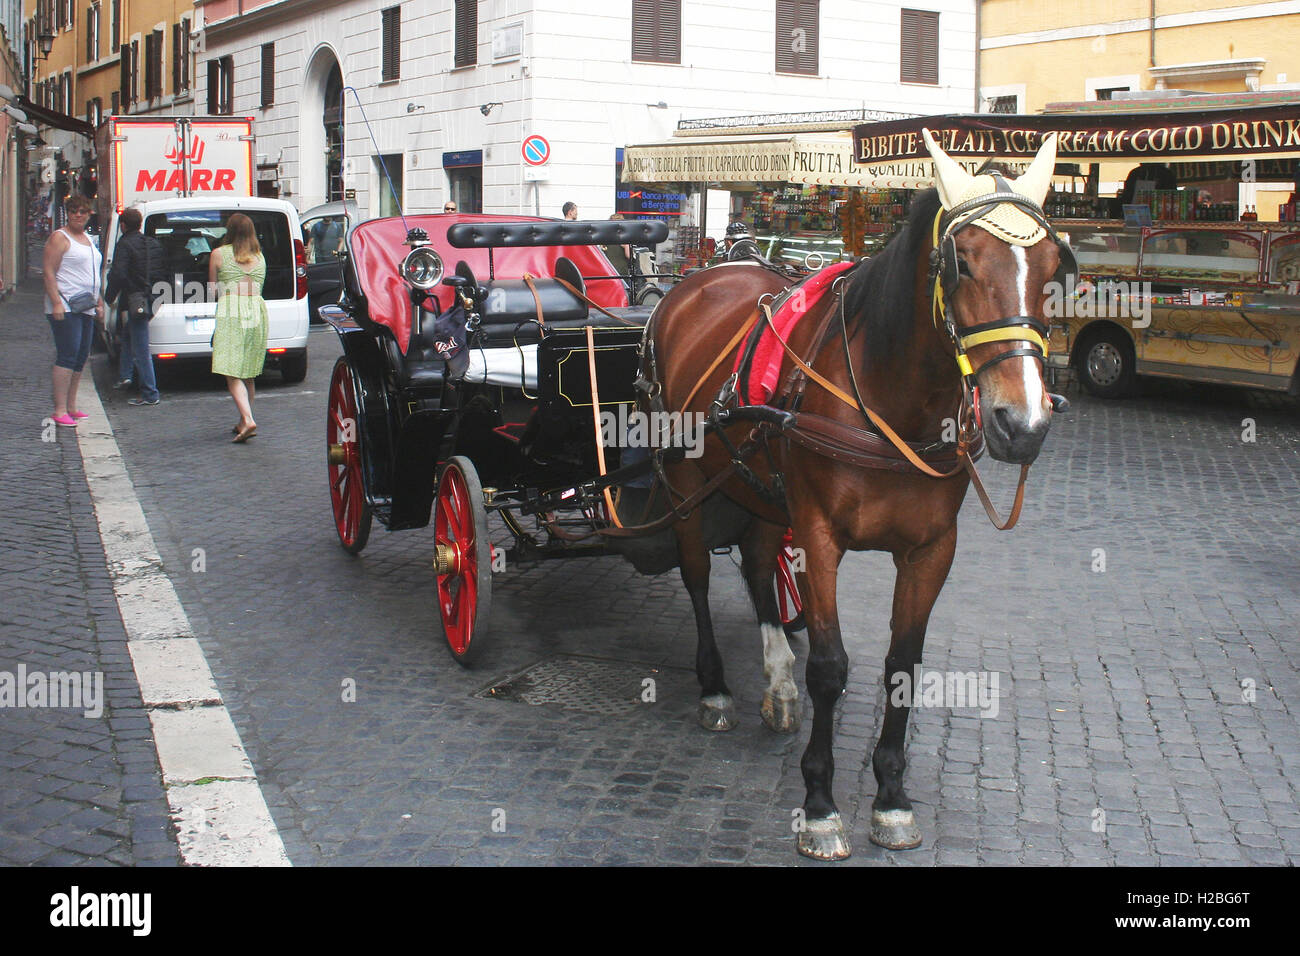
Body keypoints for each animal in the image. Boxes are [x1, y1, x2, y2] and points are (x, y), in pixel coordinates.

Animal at [639, 130, 1070, 860]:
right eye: (960, 264)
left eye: (1050, 268)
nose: (1023, 422)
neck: (892, 402)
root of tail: (701, 277)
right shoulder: (819, 535)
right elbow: (831, 667)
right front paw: (820, 804)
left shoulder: (932, 548)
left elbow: (904, 663)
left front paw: (891, 797)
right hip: (688, 481)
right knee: (697, 573)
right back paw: (716, 688)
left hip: (763, 485)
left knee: (759, 563)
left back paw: (777, 680)